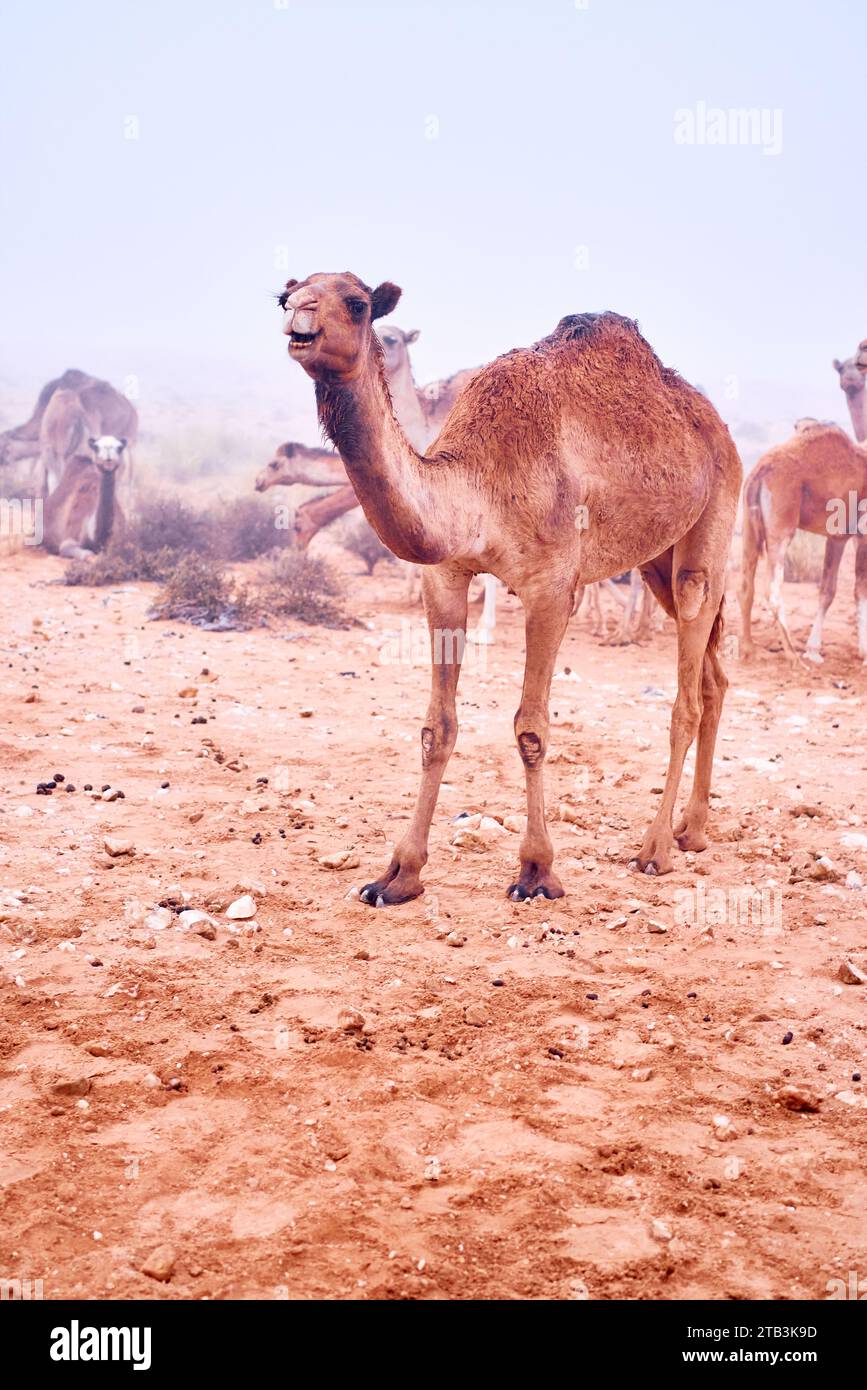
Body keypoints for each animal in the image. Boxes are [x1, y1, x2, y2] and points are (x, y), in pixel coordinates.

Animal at [279, 272, 741, 900]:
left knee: (687, 696)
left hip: (710, 526)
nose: (299, 319)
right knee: (714, 678)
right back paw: (692, 830)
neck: (479, 484)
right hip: (655, 560)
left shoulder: (551, 587)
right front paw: (399, 874)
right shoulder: (445, 577)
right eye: (287, 295)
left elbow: (531, 729)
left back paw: (656, 850)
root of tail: (717, 426)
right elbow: (437, 726)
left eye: (356, 304)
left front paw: (537, 870)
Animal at [739, 422, 867, 664]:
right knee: (772, 590)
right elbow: (860, 590)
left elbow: (827, 590)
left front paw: (813, 650)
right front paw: (864, 653)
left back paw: (748, 649)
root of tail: (760, 469)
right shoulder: (862, 533)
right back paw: (792, 656)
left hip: (749, 528)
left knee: (745, 587)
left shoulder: (837, 537)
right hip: (781, 527)